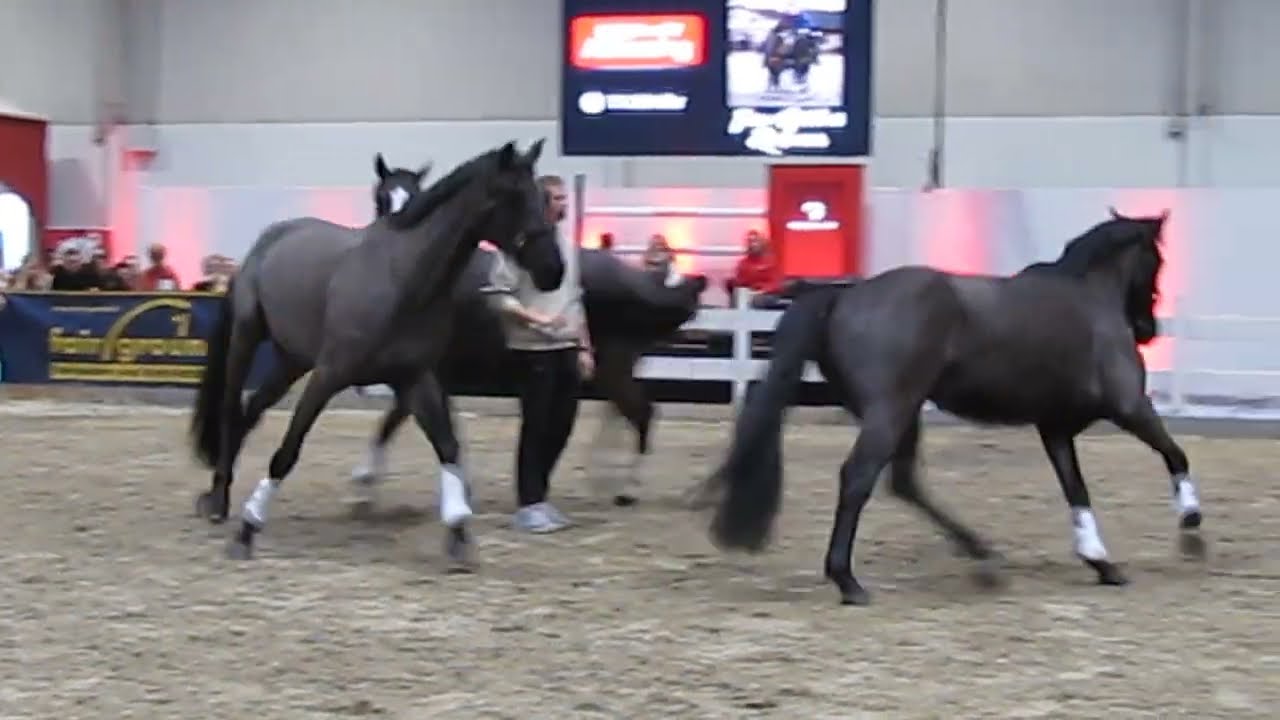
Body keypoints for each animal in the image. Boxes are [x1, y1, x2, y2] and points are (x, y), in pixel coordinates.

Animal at [188, 140, 562, 566]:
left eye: (542, 197)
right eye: (512, 197)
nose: (554, 269)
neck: (402, 279)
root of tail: (268, 240)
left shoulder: (416, 378)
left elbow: (447, 446)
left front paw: (458, 531)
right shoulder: (330, 374)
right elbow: (288, 449)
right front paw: (248, 529)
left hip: (290, 360)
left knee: (249, 412)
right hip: (247, 339)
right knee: (231, 412)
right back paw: (218, 499)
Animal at [350, 159, 710, 508]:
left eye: (412, 197)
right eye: (381, 198)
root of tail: (639, 281)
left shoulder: (425, 372)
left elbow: (393, 421)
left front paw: (364, 484)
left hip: (612, 368)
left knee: (642, 414)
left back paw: (626, 489)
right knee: (621, 414)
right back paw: (603, 477)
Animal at [700, 209, 1206, 606]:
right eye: (1158, 260)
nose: (1148, 328)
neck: (1090, 298)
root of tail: (843, 296)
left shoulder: (1056, 428)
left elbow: (1076, 490)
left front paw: (1101, 562)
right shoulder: (1129, 406)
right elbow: (1175, 453)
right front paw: (1191, 526)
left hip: (902, 413)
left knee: (904, 483)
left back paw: (983, 558)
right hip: (891, 411)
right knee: (859, 478)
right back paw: (849, 581)